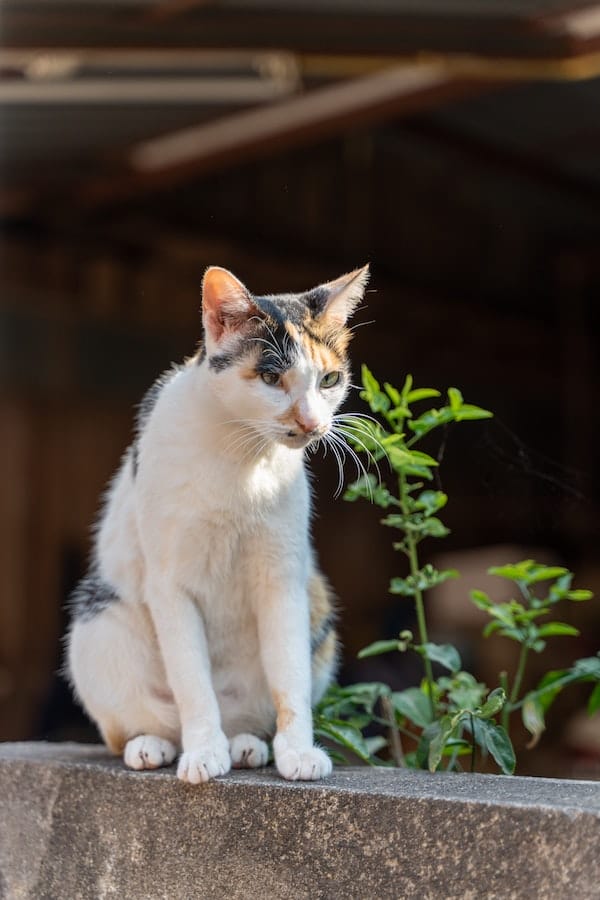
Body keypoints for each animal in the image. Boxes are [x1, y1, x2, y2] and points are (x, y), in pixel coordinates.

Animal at [69, 262, 370, 780]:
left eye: (330, 379)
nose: (312, 424)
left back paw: (246, 744)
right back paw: (155, 746)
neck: (240, 454)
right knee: (134, 726)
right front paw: (203, 753)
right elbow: (192, 681)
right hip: (96, 620)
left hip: (319, 613)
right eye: (270, 376)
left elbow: (289, 678)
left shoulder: (283, 578)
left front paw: (297, 752)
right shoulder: (169, 583)